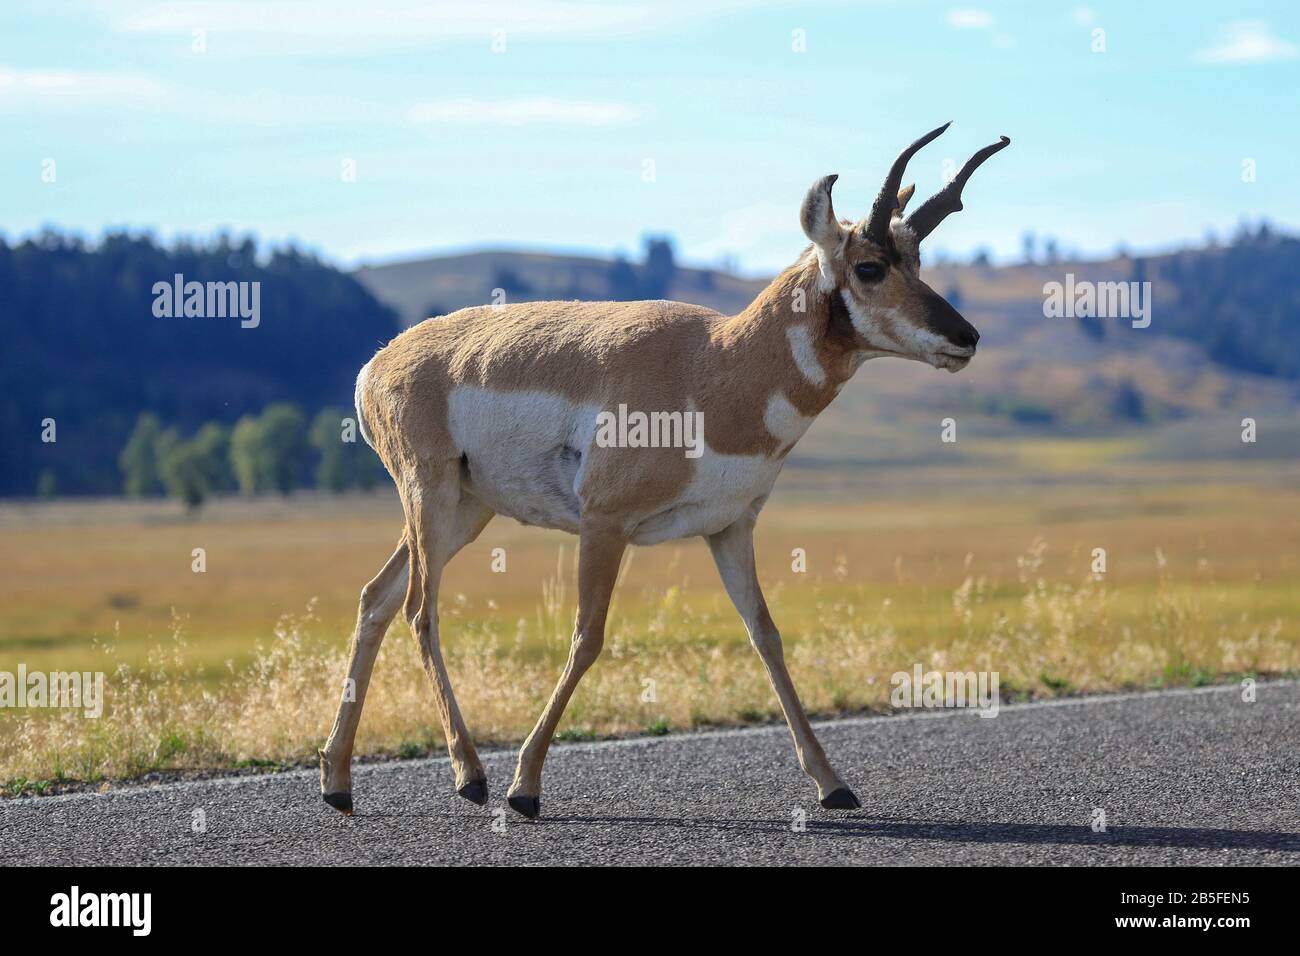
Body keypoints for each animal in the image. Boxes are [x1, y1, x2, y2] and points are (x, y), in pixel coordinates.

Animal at [319, 123, 1009, 819]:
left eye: (916, 260)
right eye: (869, 266)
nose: (967, 336)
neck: (716, 365)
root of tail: (380, 362)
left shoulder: (729, 530)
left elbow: (767, 636)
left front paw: (833, 784)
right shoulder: (605, 523)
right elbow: (587, 637)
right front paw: (525, 787)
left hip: (467, 511)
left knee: (376, 598)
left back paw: (337, 781)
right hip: (430, 497)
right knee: (420, 609)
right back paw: (471, 776)